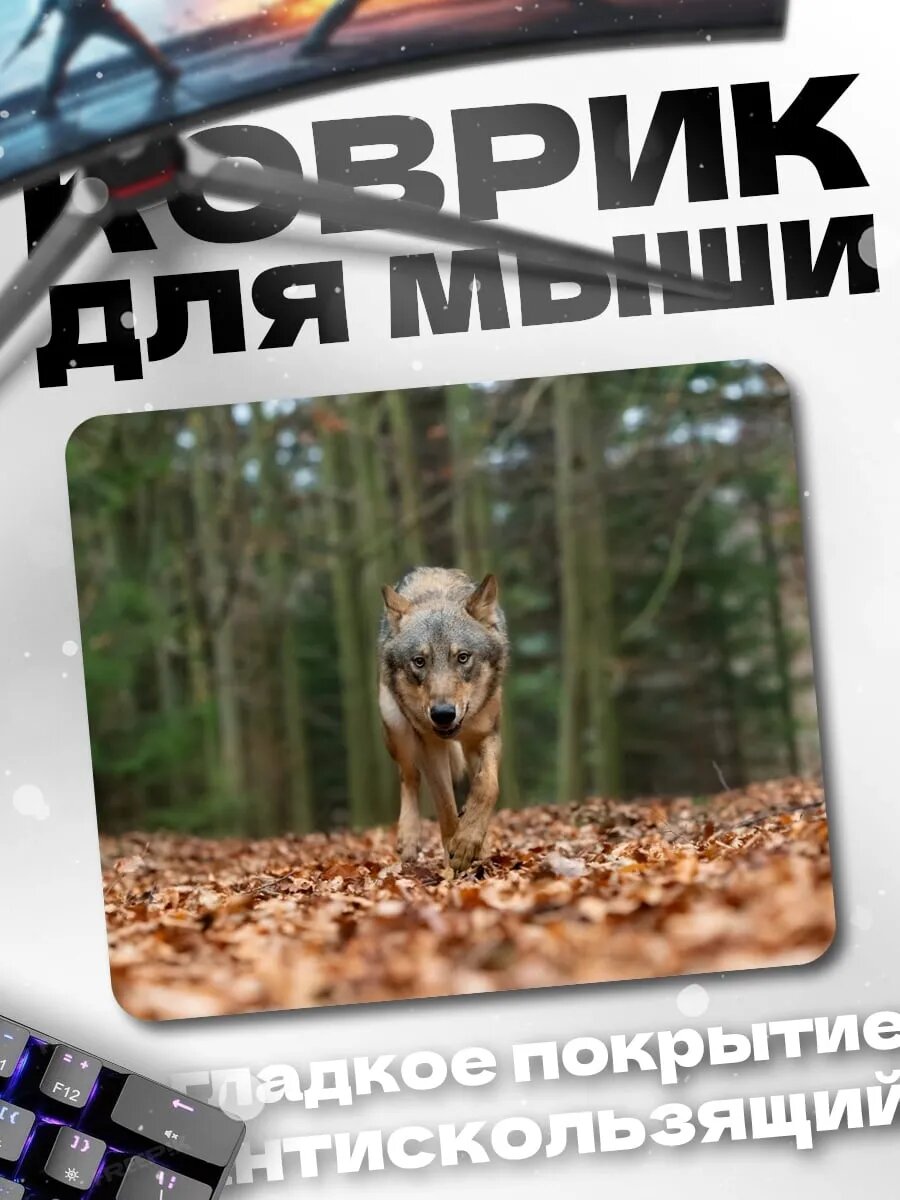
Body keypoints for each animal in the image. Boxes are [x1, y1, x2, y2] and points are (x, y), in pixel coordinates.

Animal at [378, 567, 508, 873]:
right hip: (397, 730)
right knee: (409, 777)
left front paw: (469, 841)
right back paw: (409, 839)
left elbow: (486, 786)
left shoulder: (487, 734)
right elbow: (446, 806)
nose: (443, 714)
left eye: (462, 657)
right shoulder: (429, 745)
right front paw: (454, 854)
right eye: (419, 661)